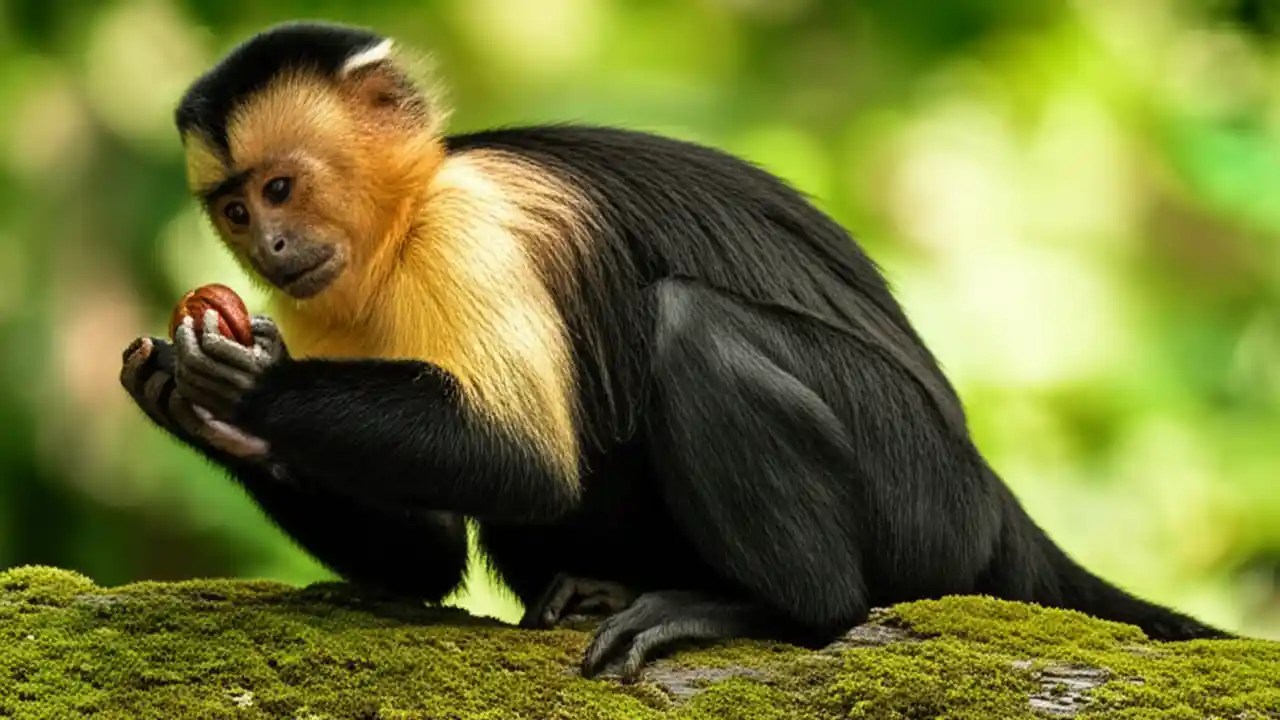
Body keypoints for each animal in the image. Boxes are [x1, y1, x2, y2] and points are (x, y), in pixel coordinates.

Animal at [118, 20, 1229, 681]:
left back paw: (771, 612)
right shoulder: (320, 300)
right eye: (233, 208)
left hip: (927, 502)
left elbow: (521, 463)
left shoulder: (468, 229)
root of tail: (992, 502)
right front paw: (185, 402)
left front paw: (248, 386)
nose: (265, 246)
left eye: (280, 189)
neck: (398, 229)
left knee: (689, 332)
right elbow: (429, 558)